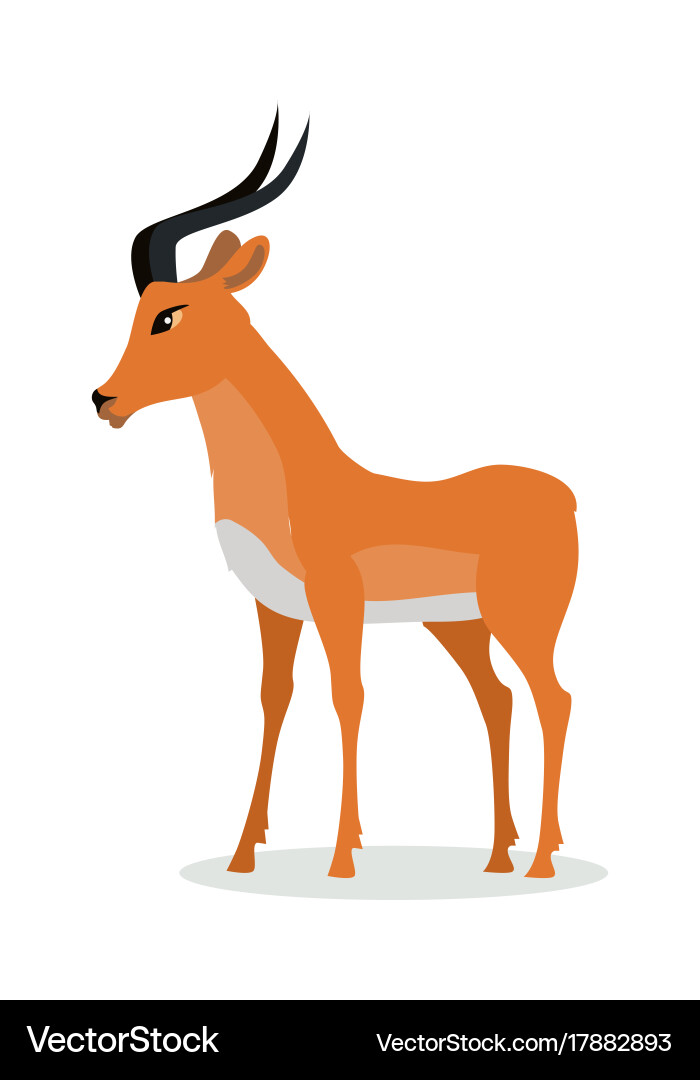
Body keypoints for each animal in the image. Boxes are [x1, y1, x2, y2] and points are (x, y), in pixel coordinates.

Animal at [93, 114, 578, 879]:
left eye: (169, 315)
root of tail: (564, 496)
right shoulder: (274, 607)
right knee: (498, 699)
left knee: (553, 700)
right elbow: (274, 700)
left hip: (521, 621)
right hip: (459, 625)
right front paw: (243, 853)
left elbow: (347, 697)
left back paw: (540, 860)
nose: (104, 399)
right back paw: (500, 854)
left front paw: (344, 856)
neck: (295, 485)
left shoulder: (336, 603)